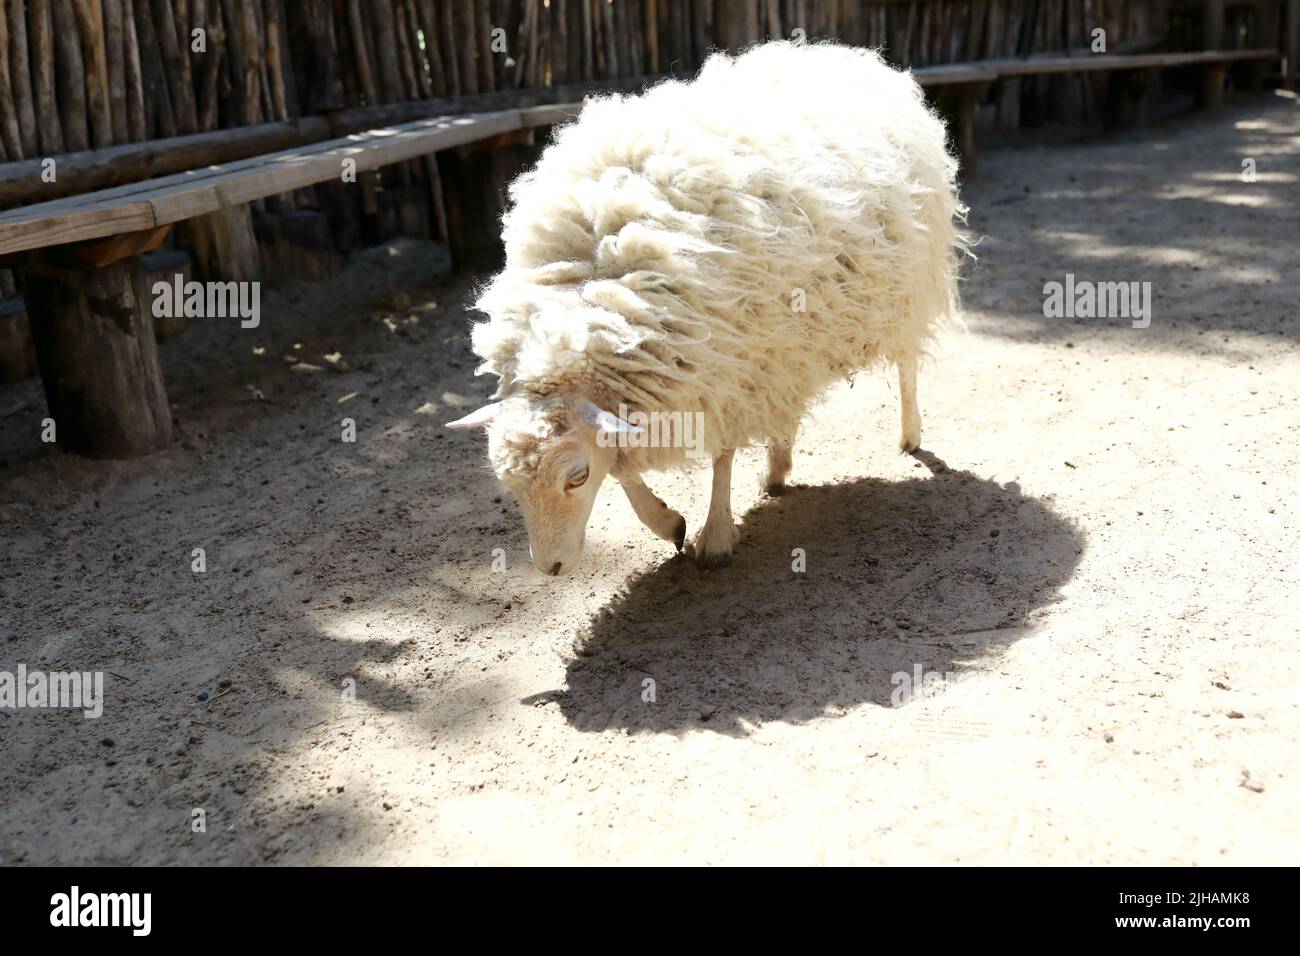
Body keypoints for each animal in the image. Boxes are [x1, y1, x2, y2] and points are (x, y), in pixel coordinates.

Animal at [448, 40, 968, 575]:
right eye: (510, 486)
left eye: (576, 476)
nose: (550, 568)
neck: (593, 293)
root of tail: (845, 56)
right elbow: (624, 468)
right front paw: (666, 522)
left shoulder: (727, 374)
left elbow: (720, 456)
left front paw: (714, 536)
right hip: (787, 342)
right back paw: (778, 465)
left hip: (904, 287)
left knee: (907, 364)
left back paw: (909, 434)